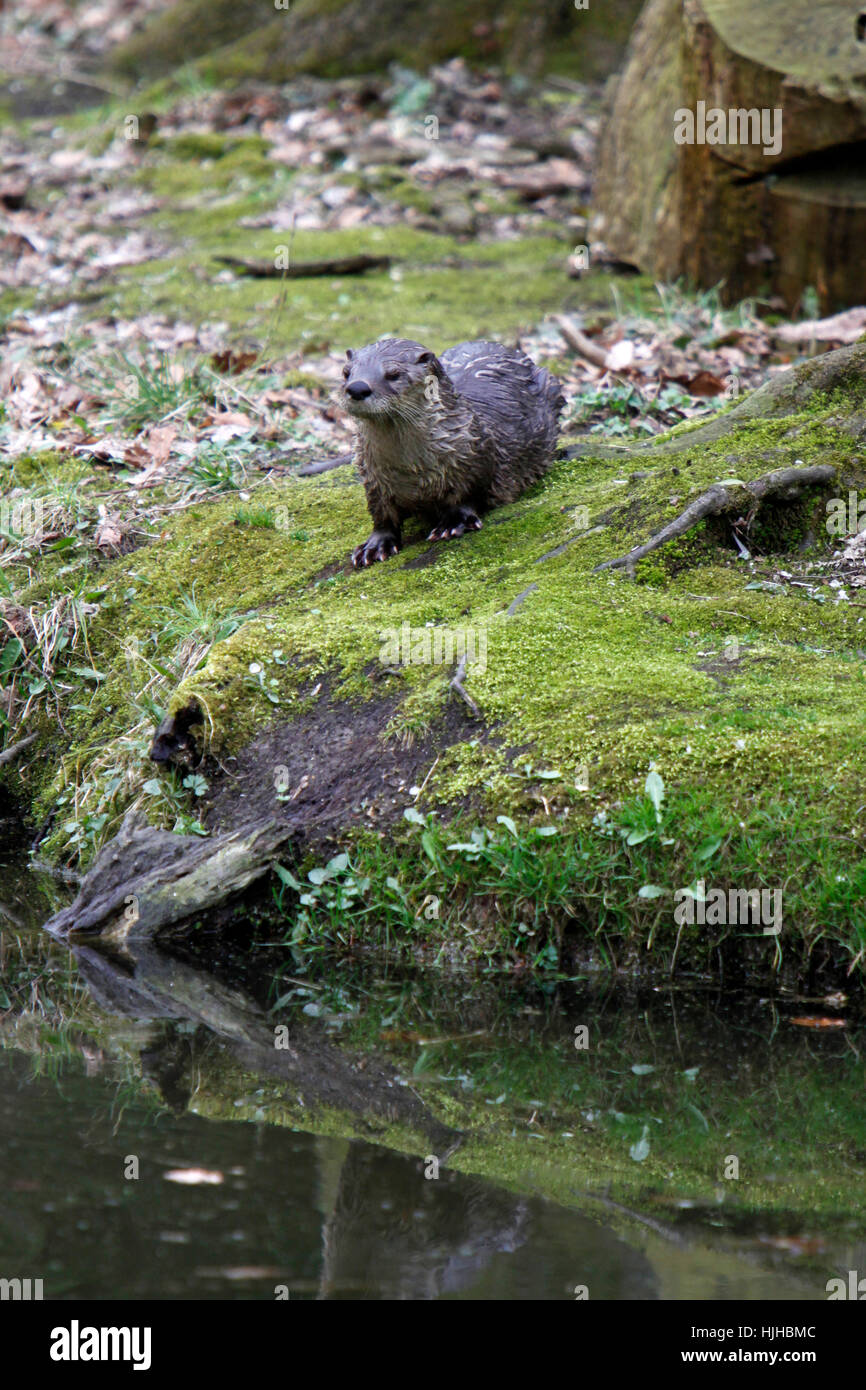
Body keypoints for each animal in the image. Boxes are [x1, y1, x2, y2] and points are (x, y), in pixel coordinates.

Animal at [338, 338, 565, 567]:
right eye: (346, 372)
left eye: (393, 374)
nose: (357, 388)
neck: (411, 470)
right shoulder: (371, 476)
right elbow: (380, 513)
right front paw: (375, 545)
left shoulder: (474, 455)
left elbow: (466, 495)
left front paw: (453, 523)